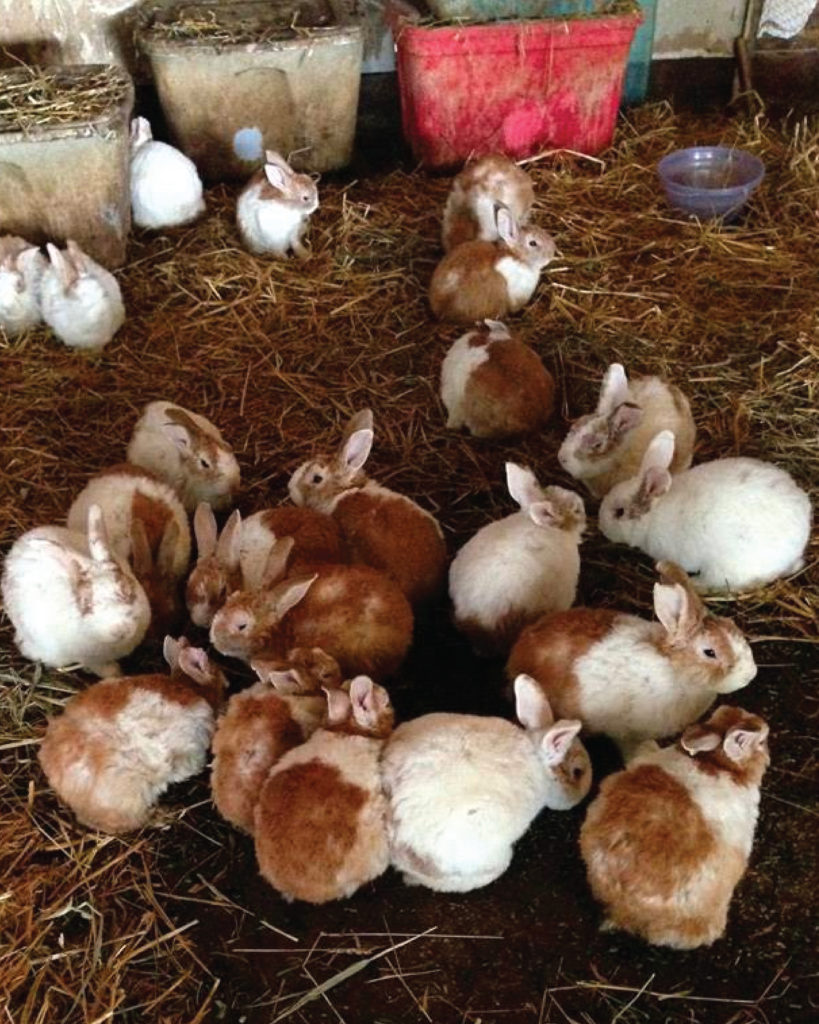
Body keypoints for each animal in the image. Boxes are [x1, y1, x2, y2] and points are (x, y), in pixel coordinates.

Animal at [1, 504, 150, 678]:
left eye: (126, 590)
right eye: (87, 604)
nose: (121, 630)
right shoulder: (91, 660)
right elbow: (106, 670)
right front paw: (118, 675)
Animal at [506, 560, 757, 758]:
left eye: (732, 625)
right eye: (710, 652)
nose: (750, 674)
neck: (676, 670)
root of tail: (517, 652)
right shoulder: (628, 733)